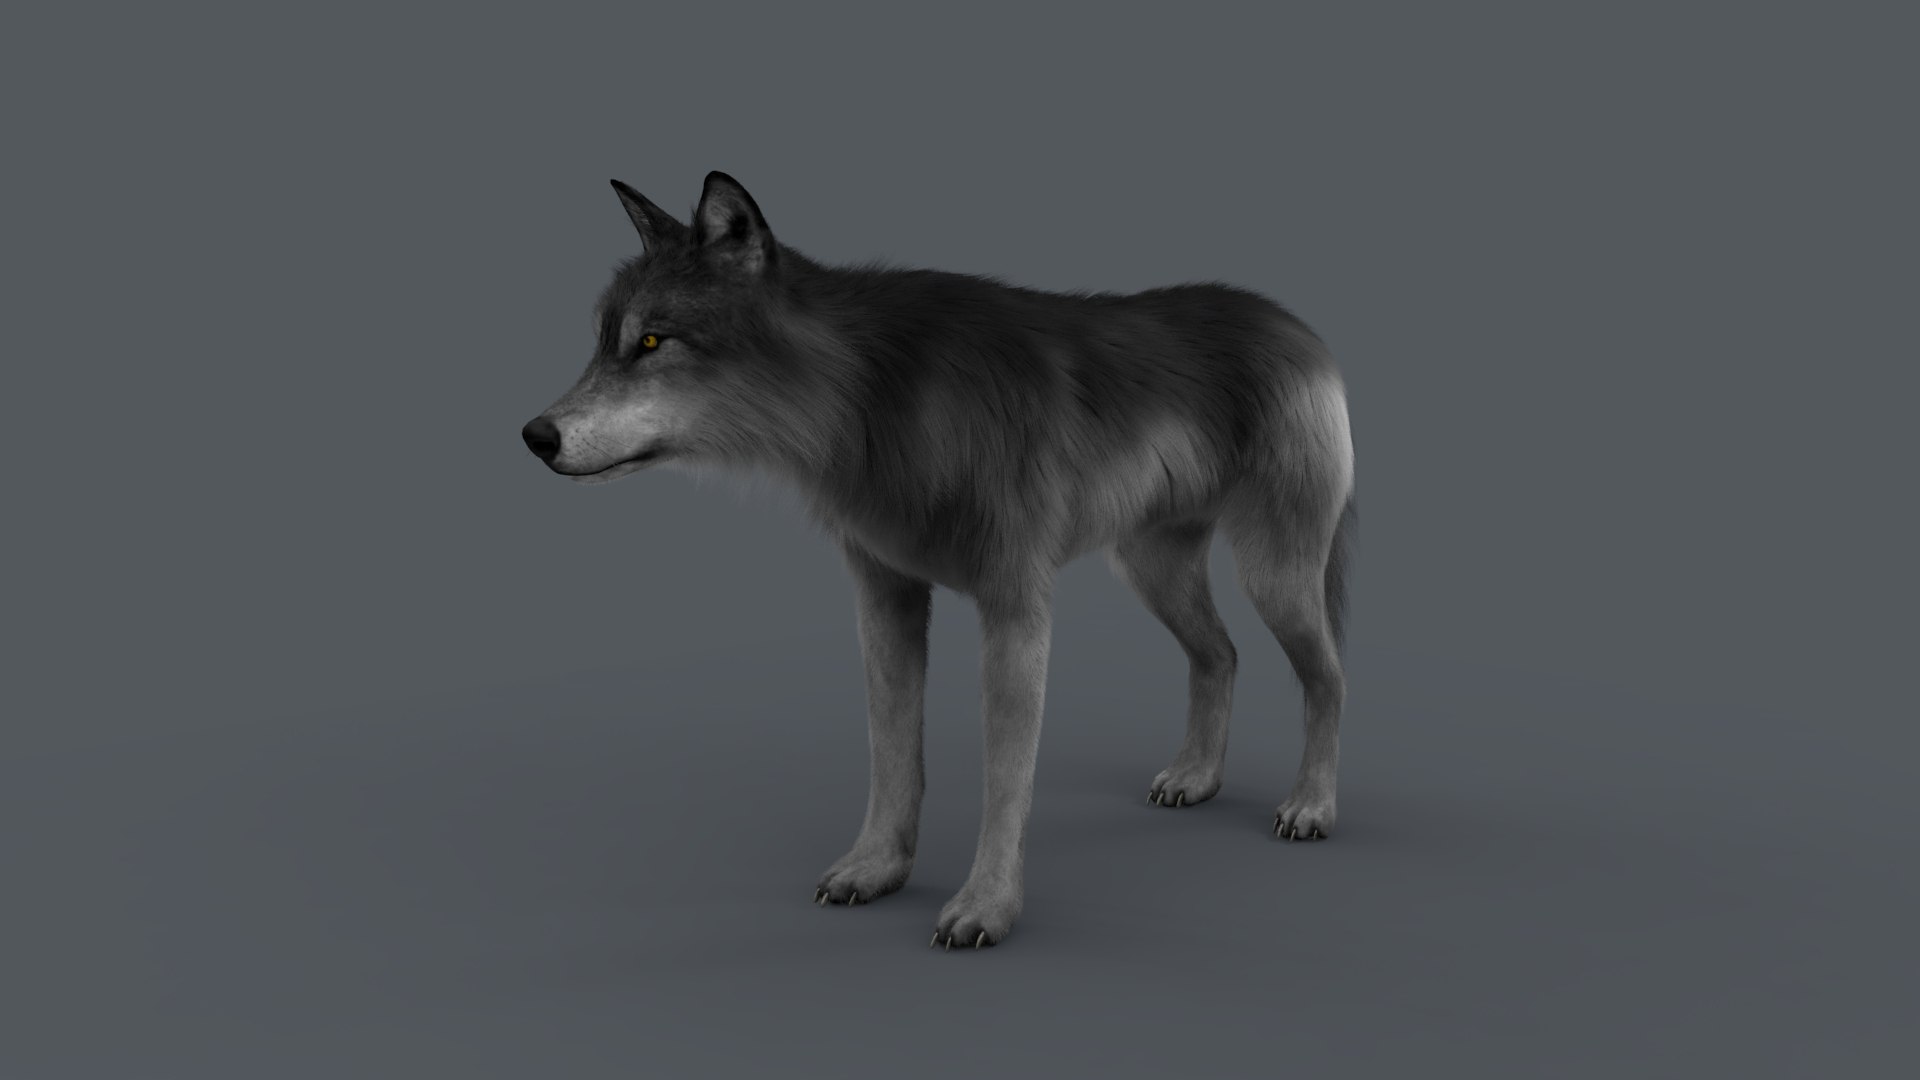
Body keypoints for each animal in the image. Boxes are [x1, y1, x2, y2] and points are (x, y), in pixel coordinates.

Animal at [521, 172, 1356, 949]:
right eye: (602, 340)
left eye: (651, 342)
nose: (534, 435)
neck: (874, 396)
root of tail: (1301, 329)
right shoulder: (884, 594)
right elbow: (893, 752)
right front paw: (877, 869)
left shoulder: (1016, 606)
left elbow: (1005, 780)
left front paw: (985, 908)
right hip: (1153, 570)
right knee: (1221, 654)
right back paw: (1197, 779)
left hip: (1270, 575)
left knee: (1329, 676)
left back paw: (1312, 806)